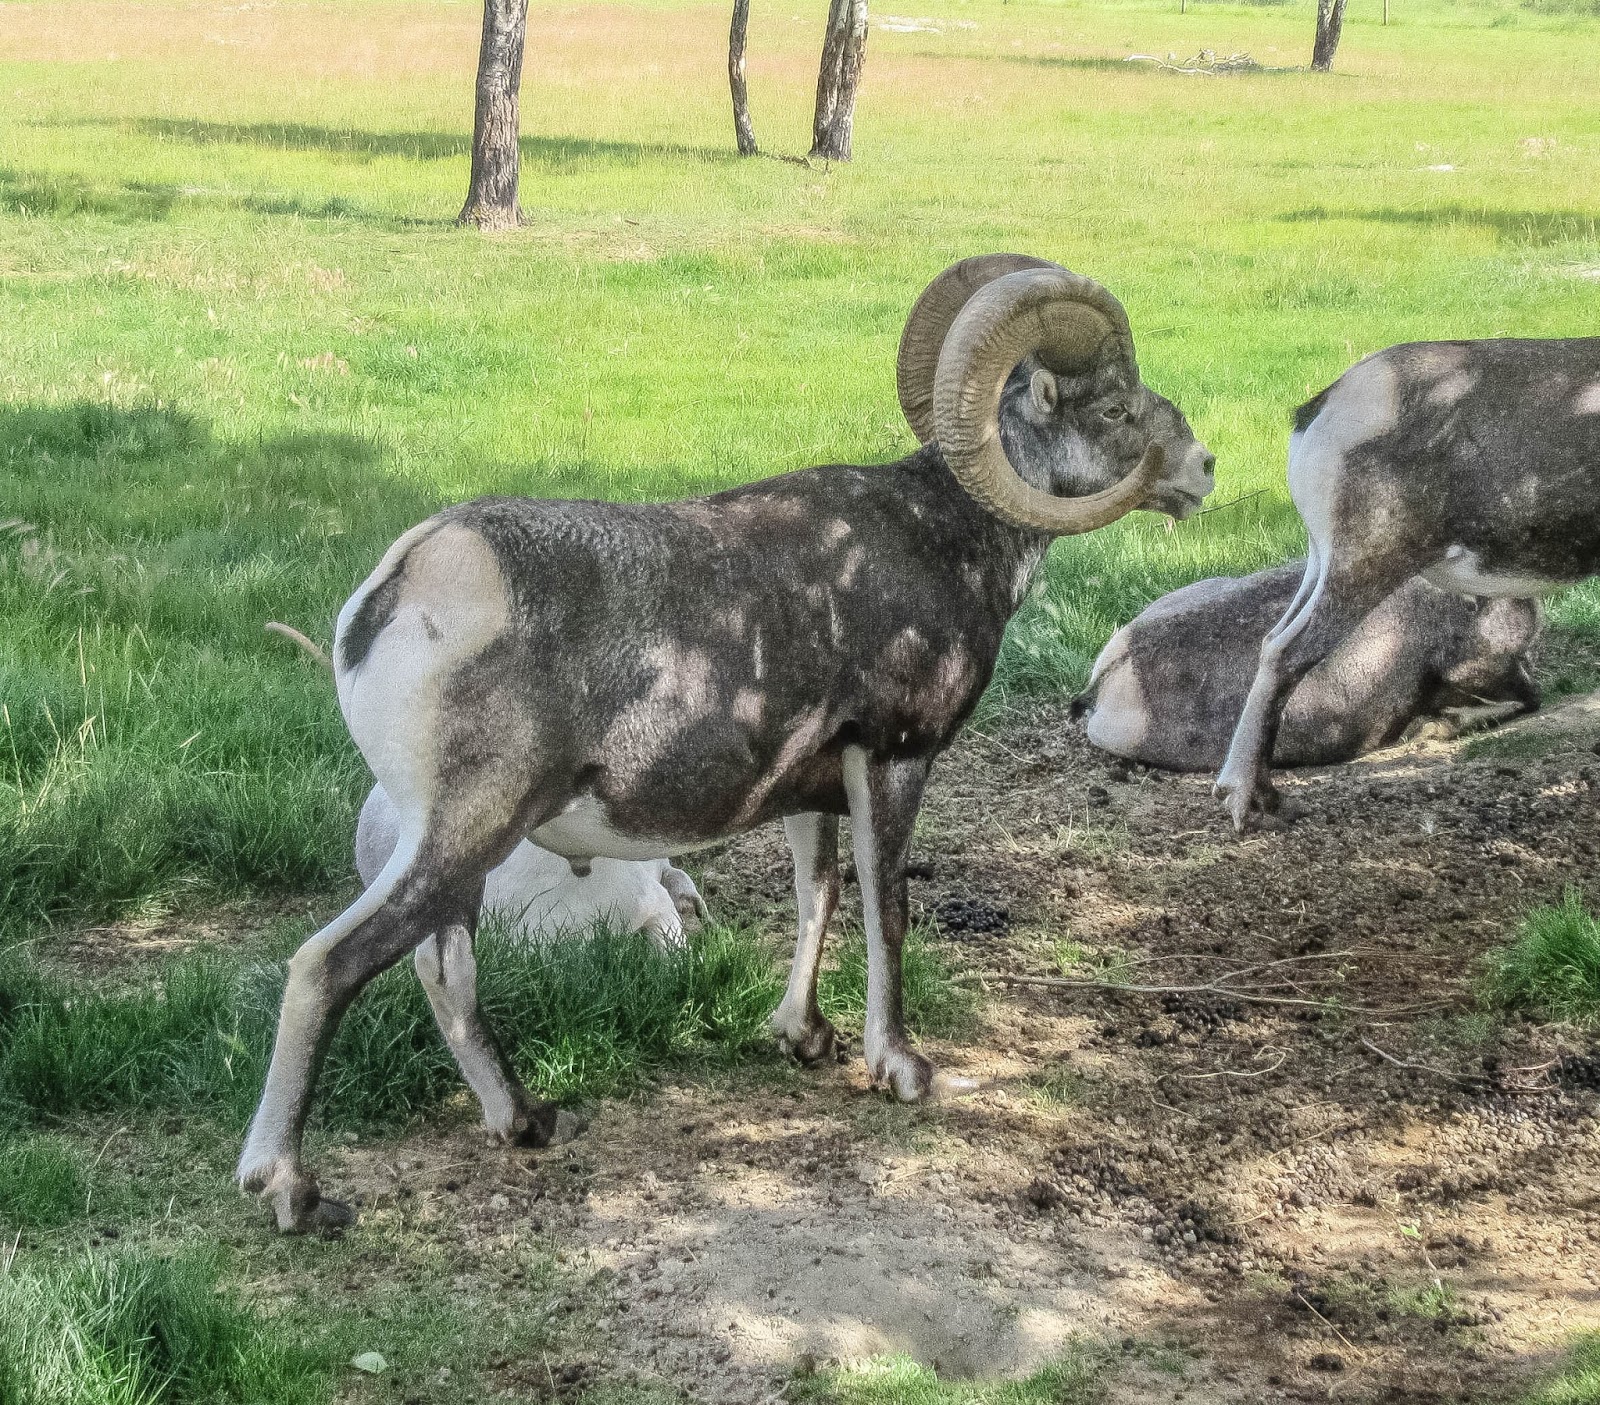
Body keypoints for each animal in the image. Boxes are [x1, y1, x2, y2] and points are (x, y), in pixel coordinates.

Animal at [1215, 336, 1600, 830]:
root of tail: (1321, 408)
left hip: (1323, 564)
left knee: (1273, 639)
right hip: (1366, 564)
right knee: (1286, 652)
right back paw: (1252, 800)